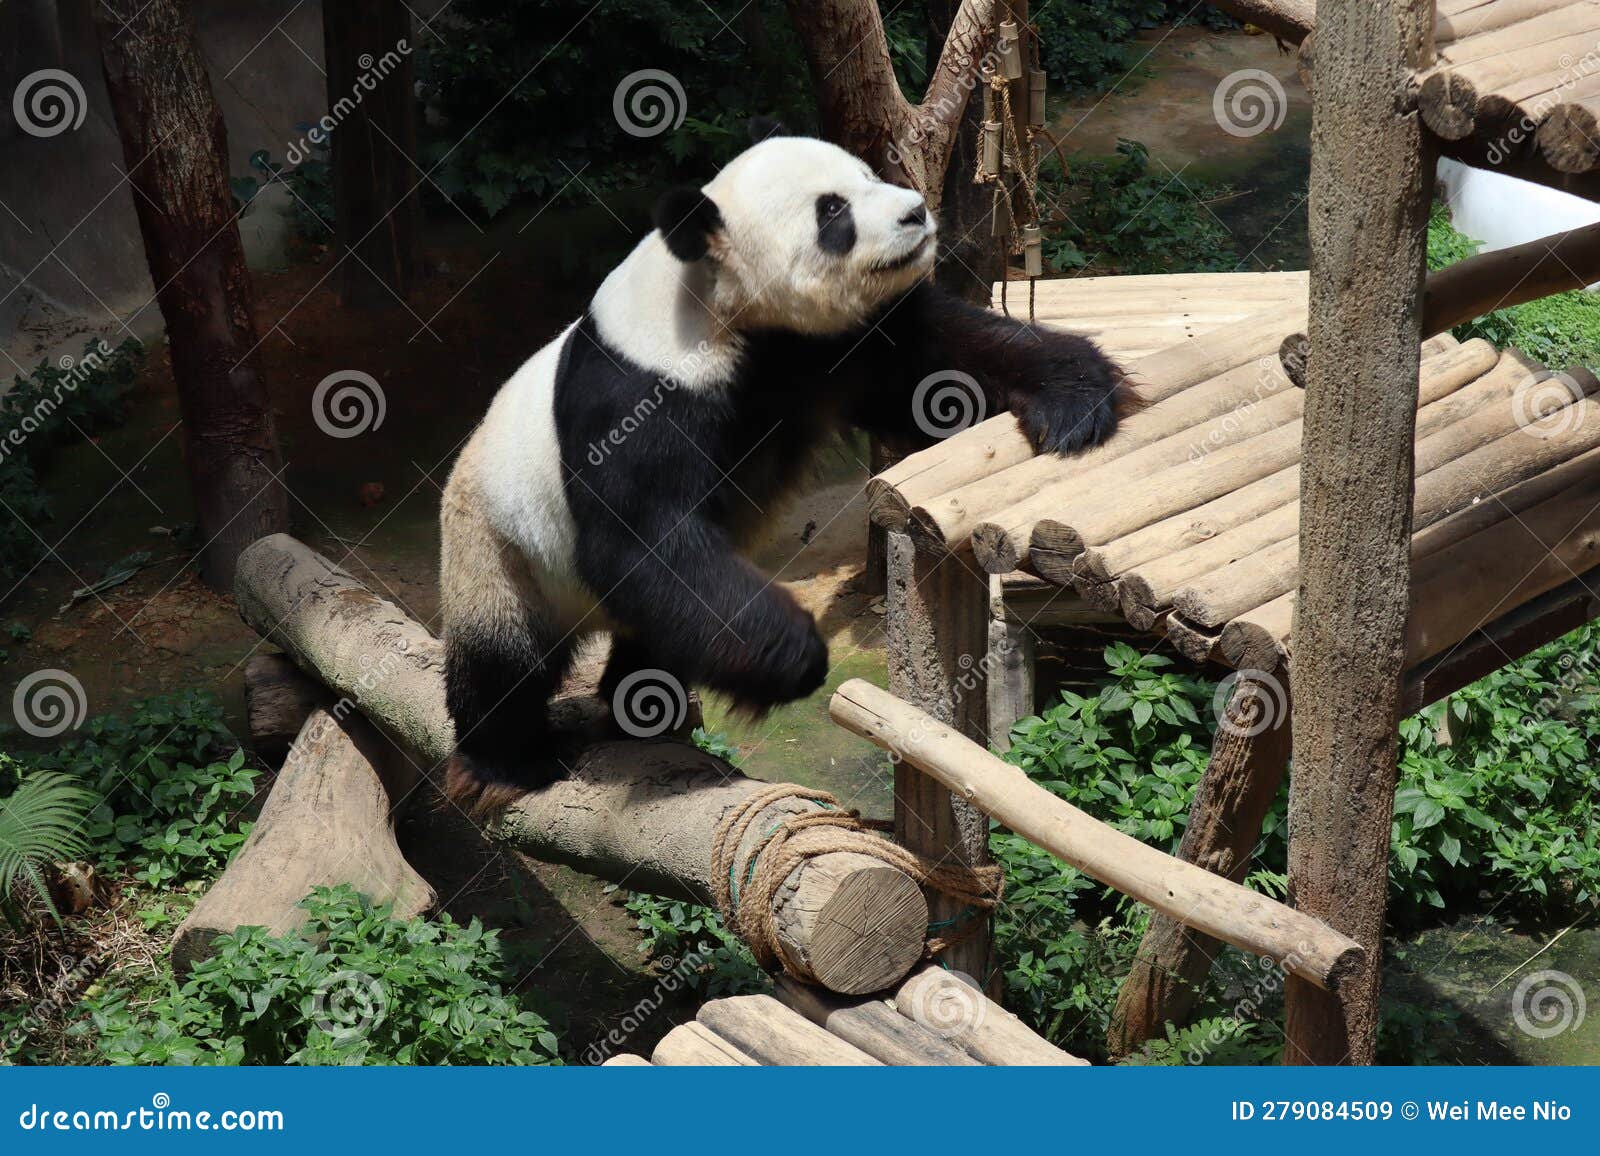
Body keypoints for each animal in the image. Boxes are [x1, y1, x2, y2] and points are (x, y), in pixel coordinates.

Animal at [439, 122, 1127, 811]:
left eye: (868, 177)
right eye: (833, 212)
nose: (915, 212)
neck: (722, 307)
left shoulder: (832, 342)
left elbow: (938, 371)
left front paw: (1074, 395)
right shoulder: (637, 394)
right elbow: (639, 540)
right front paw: (793, 656)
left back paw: (644, 700)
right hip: (496, 543)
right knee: (501, 654)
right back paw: (503, 762)